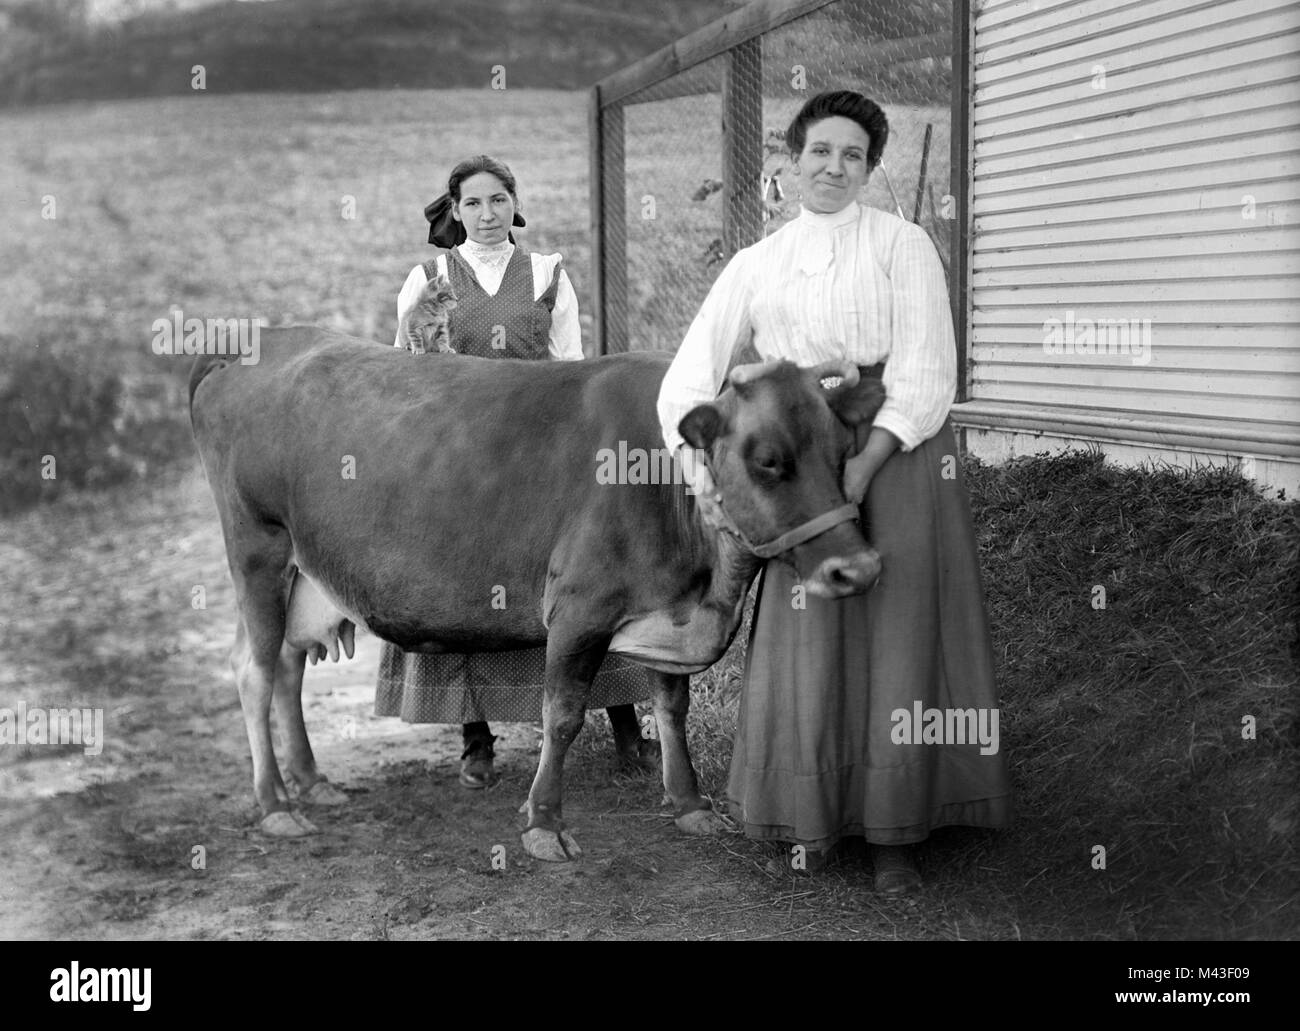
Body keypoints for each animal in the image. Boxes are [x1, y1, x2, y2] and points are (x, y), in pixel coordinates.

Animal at [189, 332, 885, 861]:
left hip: (305, 575)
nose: (858, 568)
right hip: (257, 548)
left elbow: (672, 706)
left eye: (842, 449)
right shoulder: (578, 609)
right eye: (768, 460)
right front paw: (544, 824)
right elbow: (563, 715)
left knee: (286, 663)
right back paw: (276, 804)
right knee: (254, 669)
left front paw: (688, 804)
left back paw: (312, 781)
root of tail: (260, 343)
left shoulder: (669, 610)